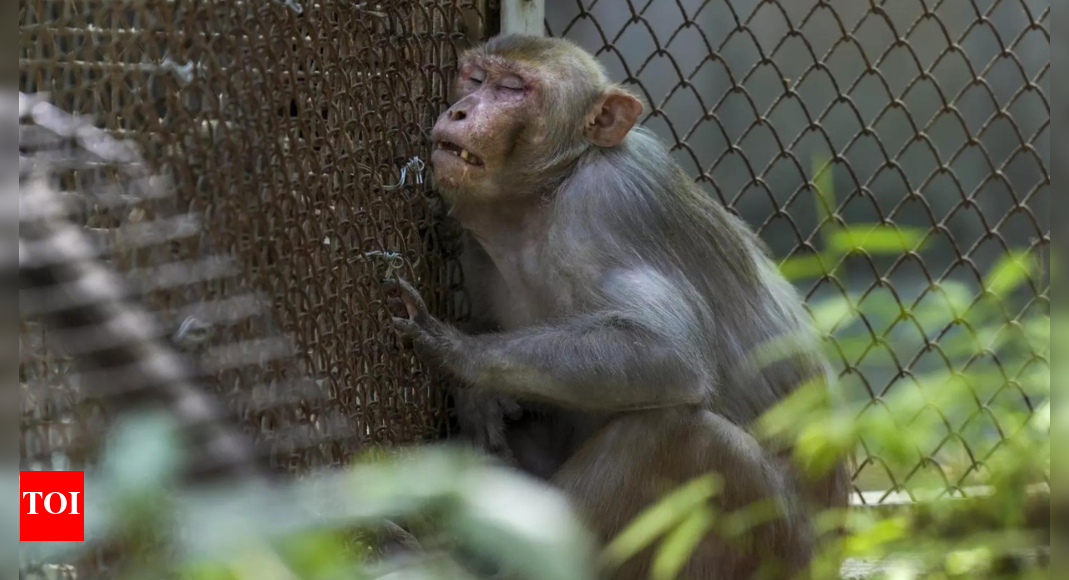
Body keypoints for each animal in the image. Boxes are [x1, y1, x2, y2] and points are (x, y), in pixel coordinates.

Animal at [386, 35, 849, 580]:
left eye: (513, 88)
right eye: (474, 78)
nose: (460, 110)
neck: (543, 198)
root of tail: (829, 553)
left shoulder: (608, 203)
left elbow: (668, 352)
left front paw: (454, 354)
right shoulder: (476, 246)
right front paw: (477, 396)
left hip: (768, 542)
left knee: (679, 435)